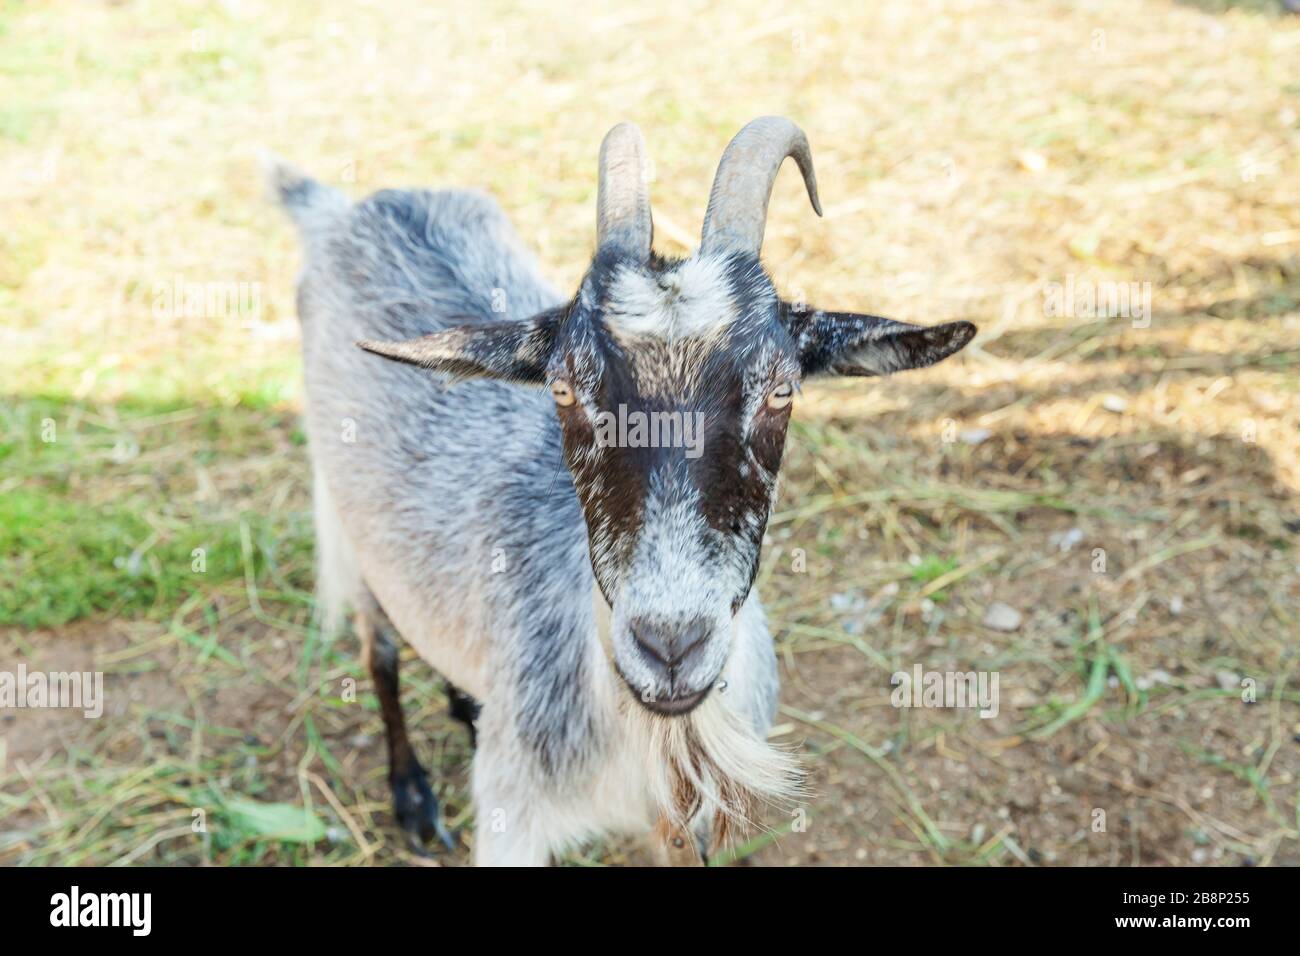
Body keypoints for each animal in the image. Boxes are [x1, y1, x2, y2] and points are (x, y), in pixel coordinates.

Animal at [268, 117, 975, 865]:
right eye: (562, 389)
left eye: (782, 390)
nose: (670, 648)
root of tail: (341, 209)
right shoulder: (512, 822)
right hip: (351, 519)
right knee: (379, 651)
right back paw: (412, 798)